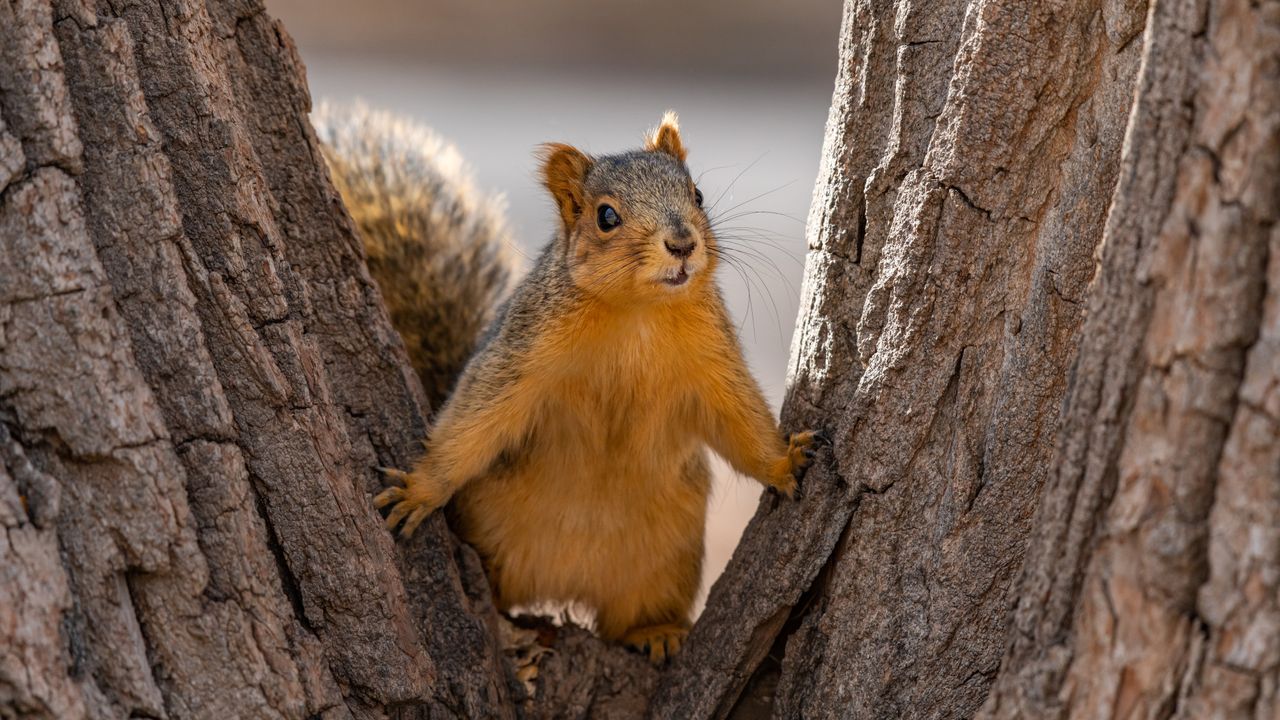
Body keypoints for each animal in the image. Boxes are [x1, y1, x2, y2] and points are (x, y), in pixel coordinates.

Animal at [316, 105, 822, 663]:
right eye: (606, 216)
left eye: (697, 195)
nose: (683, 244)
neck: (639, 313)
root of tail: (567, 585)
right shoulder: (522, 352)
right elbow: (477, 419)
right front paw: (421, 489)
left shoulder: (712, 360)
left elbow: (739, 417)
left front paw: (784, 461)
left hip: (666, 561)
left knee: (632, 615)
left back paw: (655, 631)